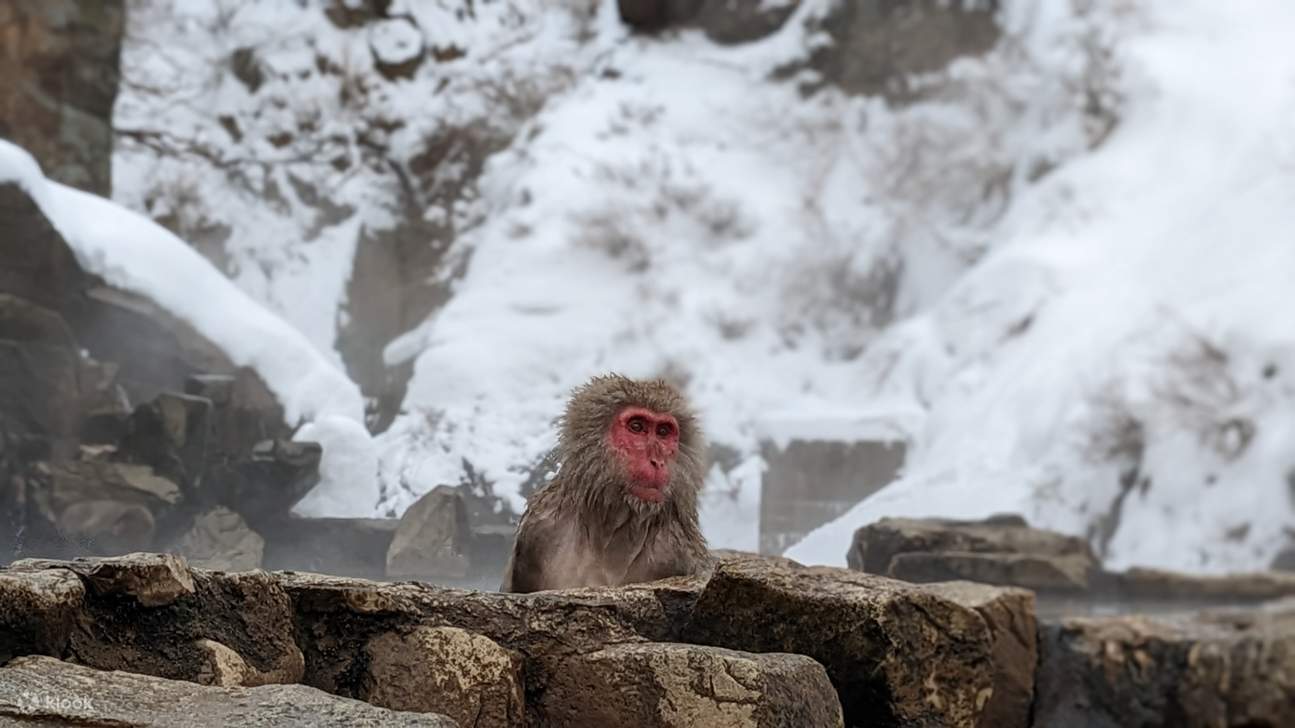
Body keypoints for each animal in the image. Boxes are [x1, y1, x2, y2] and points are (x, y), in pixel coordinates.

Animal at [500, 373, 710, 593]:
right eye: (637, 426)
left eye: (663, 431)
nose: (657, 461)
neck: (614, 522)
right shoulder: (539, 529)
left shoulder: (679, 553)